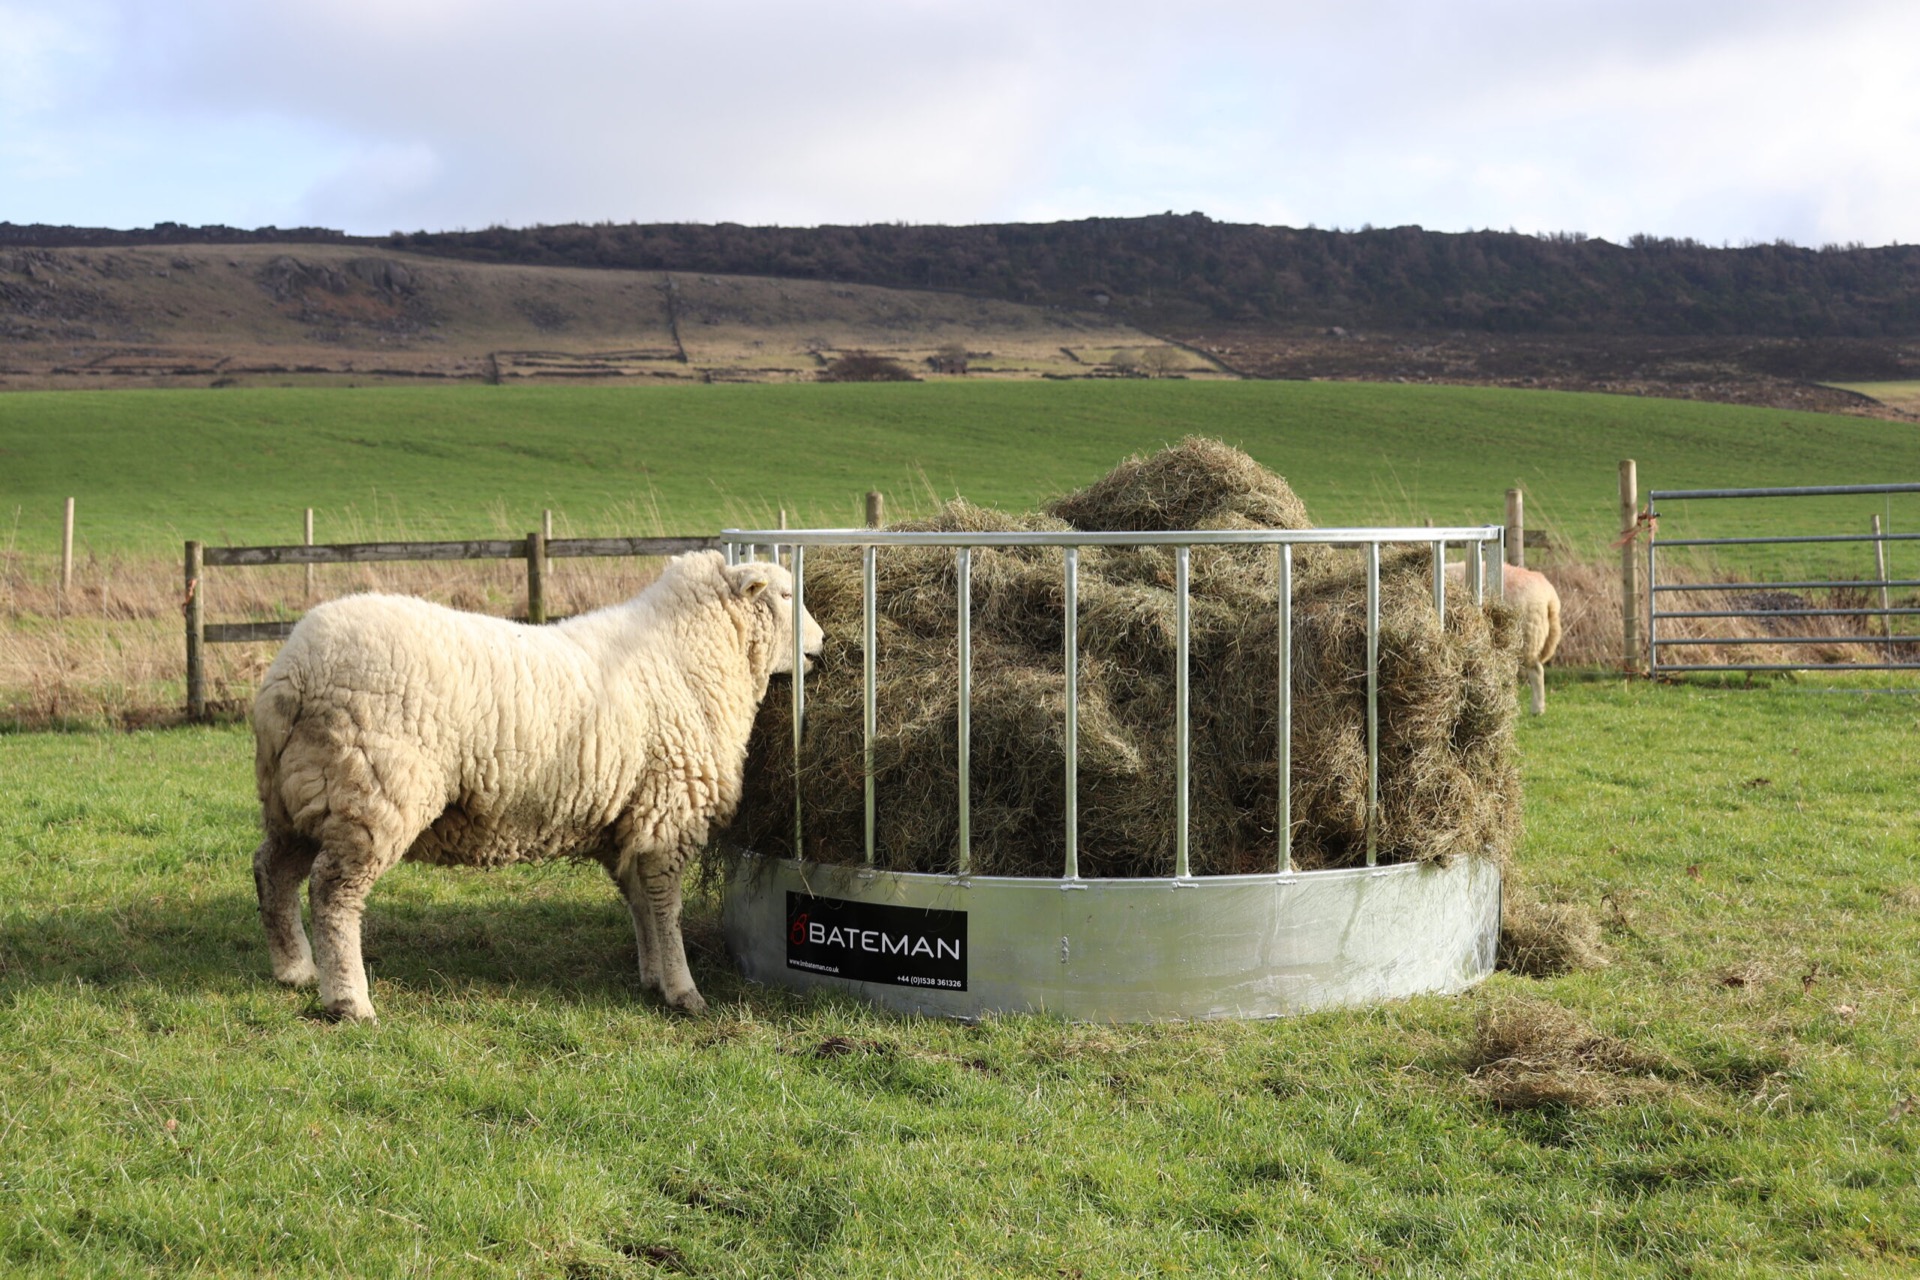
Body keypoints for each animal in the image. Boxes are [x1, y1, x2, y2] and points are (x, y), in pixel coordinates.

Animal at [250, 550, 823, 1023]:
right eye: (785, 595)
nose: (821, 646)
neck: (690, 655)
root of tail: (290, 672)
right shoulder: (667, 811)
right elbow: (666, 906)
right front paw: (684, 990)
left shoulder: (630, 817)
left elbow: (641, 903)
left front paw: (654, 977)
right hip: (372, 793)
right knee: (333, 894)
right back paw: (349, 1000)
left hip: (301, 795)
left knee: (272, 869)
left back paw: (294, 968)